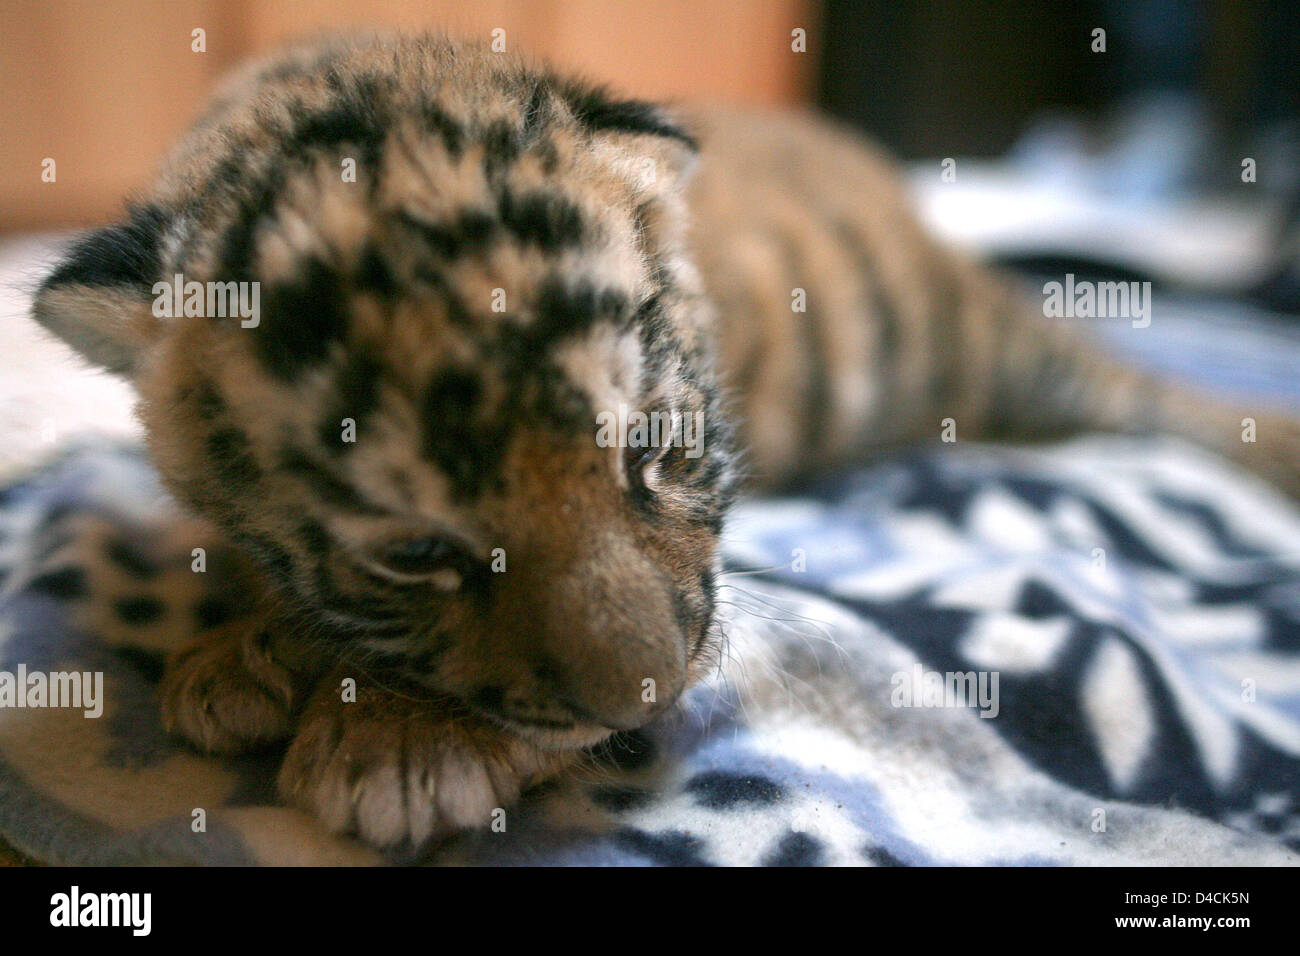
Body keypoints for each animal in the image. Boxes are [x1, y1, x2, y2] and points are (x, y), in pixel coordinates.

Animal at [31, 32, 1300, 849]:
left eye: (648, 447)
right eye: (416, 551)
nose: (647, 689)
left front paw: (398, 744)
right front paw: (248, 653)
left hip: (958, 338)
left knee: (1143, 391)